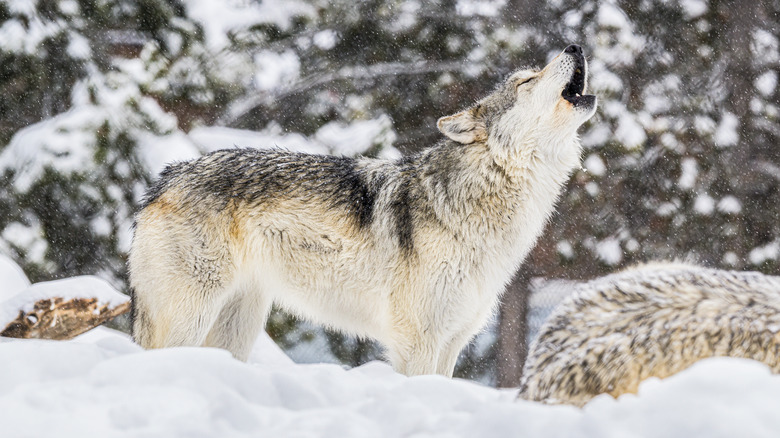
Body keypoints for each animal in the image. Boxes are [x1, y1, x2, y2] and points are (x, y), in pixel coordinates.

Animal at [129, 45, 597, 376]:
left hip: (236, 327)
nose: (575, 46)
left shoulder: (452, 341)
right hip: (190, 318)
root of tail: (166, 177)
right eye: (526, 80)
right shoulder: (419, 341)